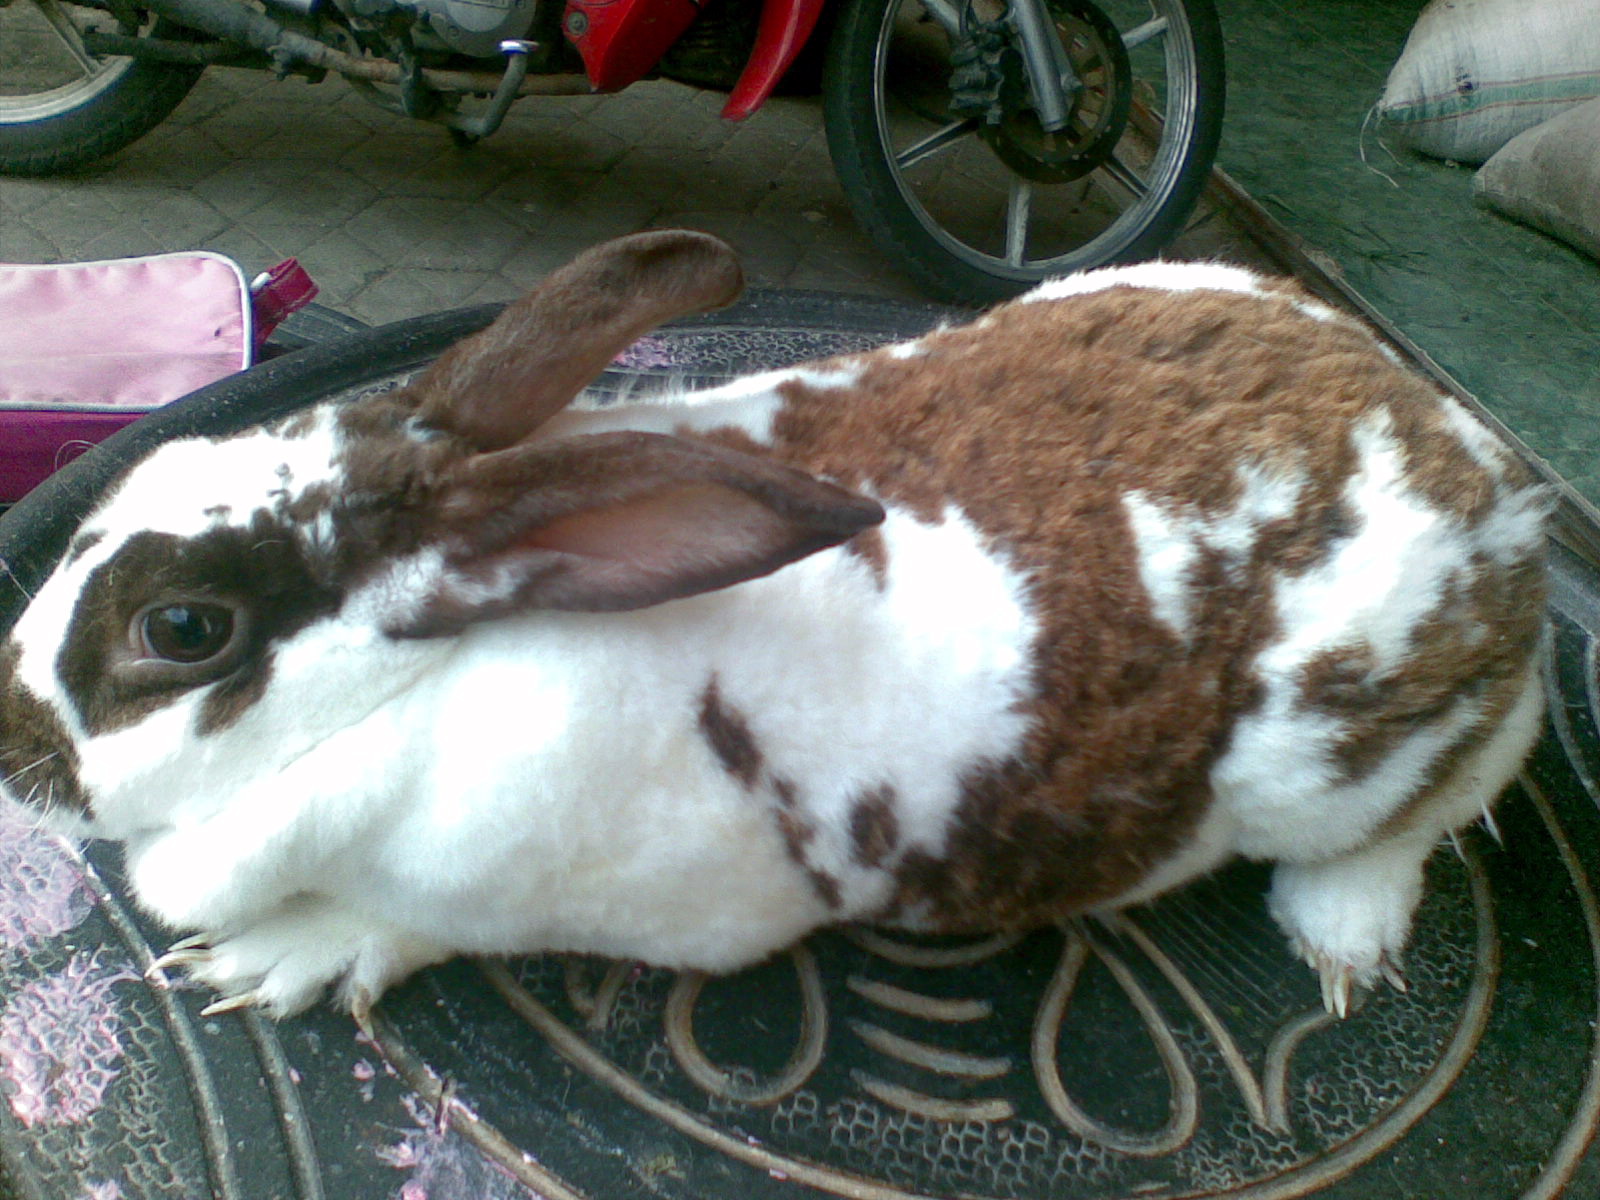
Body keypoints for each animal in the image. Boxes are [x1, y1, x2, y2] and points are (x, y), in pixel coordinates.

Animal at [0, 230, 1551, 1022]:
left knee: (1442, 802)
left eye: (181, 629)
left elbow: (409, 928)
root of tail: (1476, 457)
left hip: (1355, 753)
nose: (15, 743)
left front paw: (272, 960)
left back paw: (1344, 939)